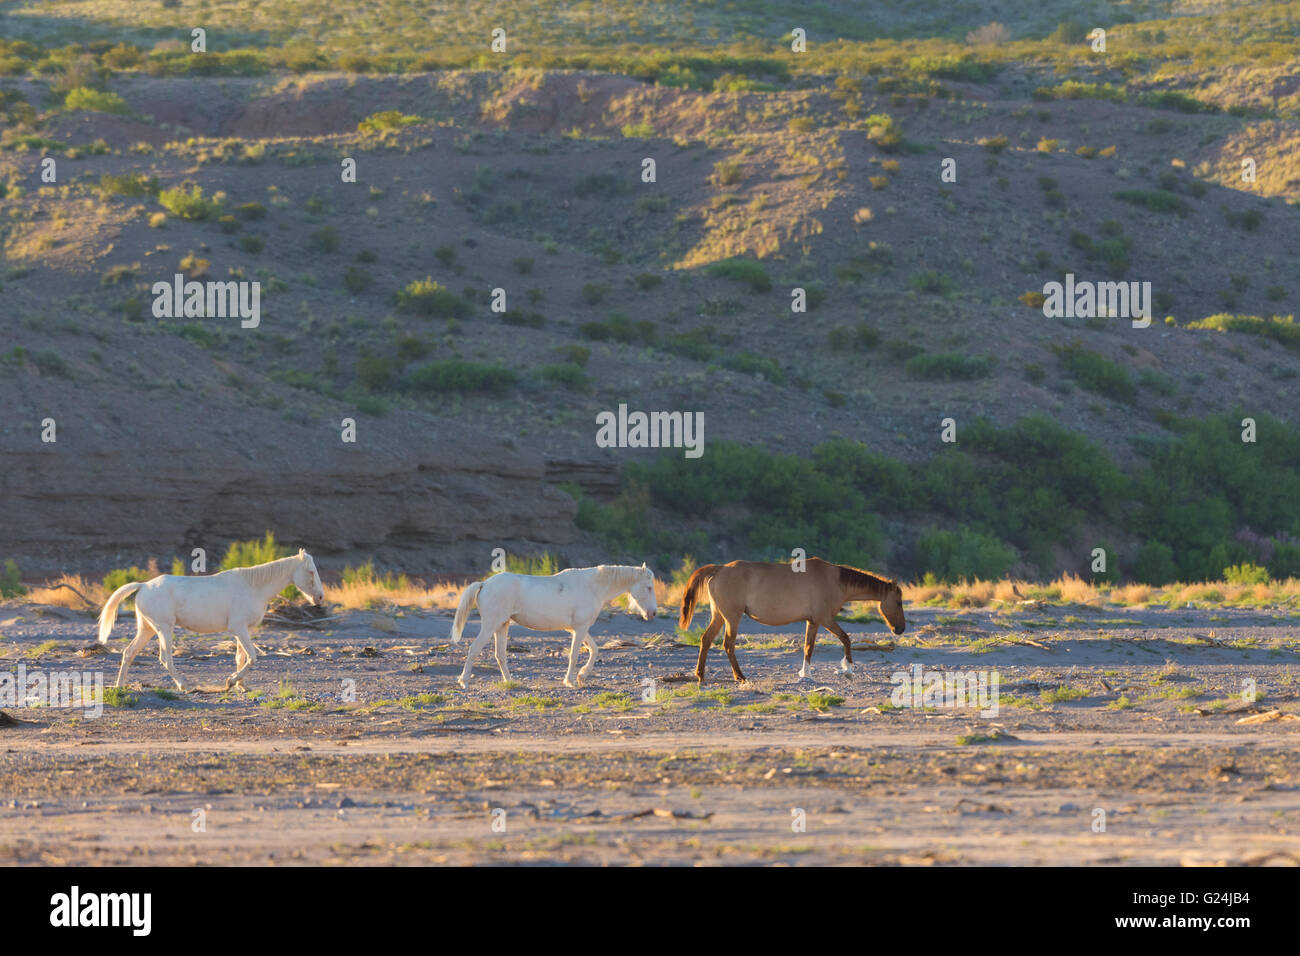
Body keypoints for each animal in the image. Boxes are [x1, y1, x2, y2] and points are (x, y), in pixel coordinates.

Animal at [96, 549, 325, 693]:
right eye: (311, 571)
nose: (320, 597)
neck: (253, 587)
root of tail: (143, 586)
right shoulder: (239, 629)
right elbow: (252, 657)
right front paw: (230, 682)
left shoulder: (244, 631)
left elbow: (241, 657)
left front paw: (242, 686)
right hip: (164, 629)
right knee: (165, 657)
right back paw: (183, 685)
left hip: (147, 630)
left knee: (128, 653)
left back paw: (119, 686)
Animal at [451, 564, 657, 688]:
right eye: (649, 587)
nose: (653, 613)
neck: (592, 587)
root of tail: (484, 584)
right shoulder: (580, 628)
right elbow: (574, 655)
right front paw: (570, 681)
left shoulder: (578, 628)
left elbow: (595, 649)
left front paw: (582, 676)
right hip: (490, 625)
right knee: (474, 649)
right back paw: (464, 682)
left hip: (502, 625)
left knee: (500, 655)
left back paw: (510, 682)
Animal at [678, 557, 905, 683]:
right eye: (899, 602)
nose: (900, 629)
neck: (834, 580)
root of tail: (719, 568)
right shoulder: (825, 619)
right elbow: (846, 639)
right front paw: (848, 669)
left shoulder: (813, 621)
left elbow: (808, 647)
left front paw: (805, 673)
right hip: (732, 618)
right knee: (728, 644)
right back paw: (740, 676)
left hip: (718, 616)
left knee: (706, 640)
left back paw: (700, 675)